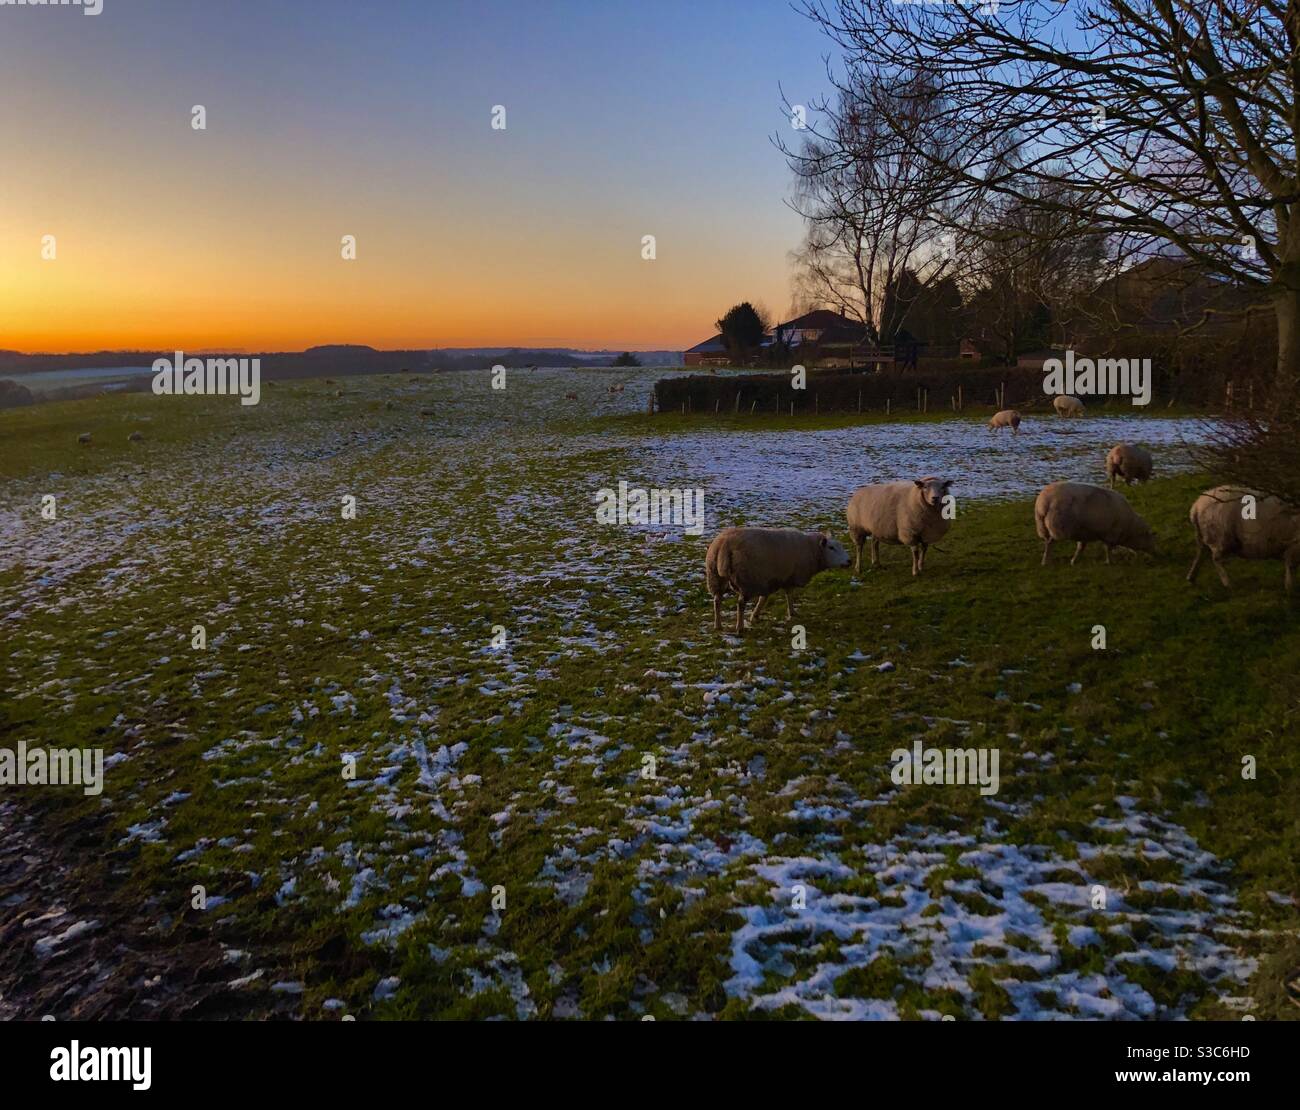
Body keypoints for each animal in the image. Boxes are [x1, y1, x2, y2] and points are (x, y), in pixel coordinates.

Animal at [705, 527, 849, 633]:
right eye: (831, 547)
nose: (849, 561)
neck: (811, 550)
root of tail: (724, 545)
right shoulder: (786, 578)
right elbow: (788, 595)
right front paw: (792, 613)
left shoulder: (769, 579)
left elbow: (764, 598)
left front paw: (755, 615)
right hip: (746, 580)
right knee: (740, 604)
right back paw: (740, 627)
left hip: (715, 578)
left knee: (717, 601)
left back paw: (718, 625)